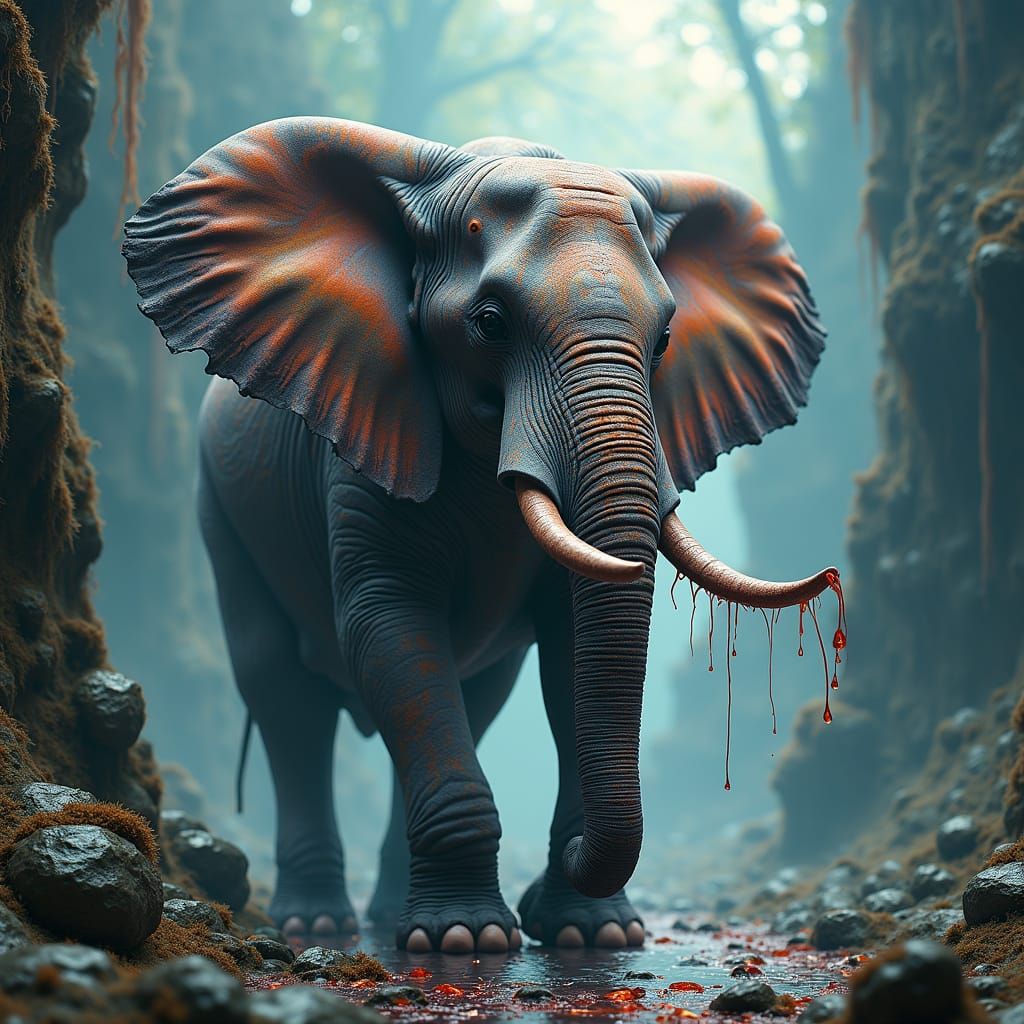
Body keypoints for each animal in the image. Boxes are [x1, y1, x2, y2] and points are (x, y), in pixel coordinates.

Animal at [122, 118, 835, 954]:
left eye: (664, 340)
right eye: (490, 324)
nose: (831, 575)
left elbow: (567, 648)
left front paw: (591, 936)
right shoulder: (365, 438)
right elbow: (388, 624)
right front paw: (469, 941)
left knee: (471, 692)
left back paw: (389, 914)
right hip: (219, 503)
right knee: (284, 693)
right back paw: (320, 922)